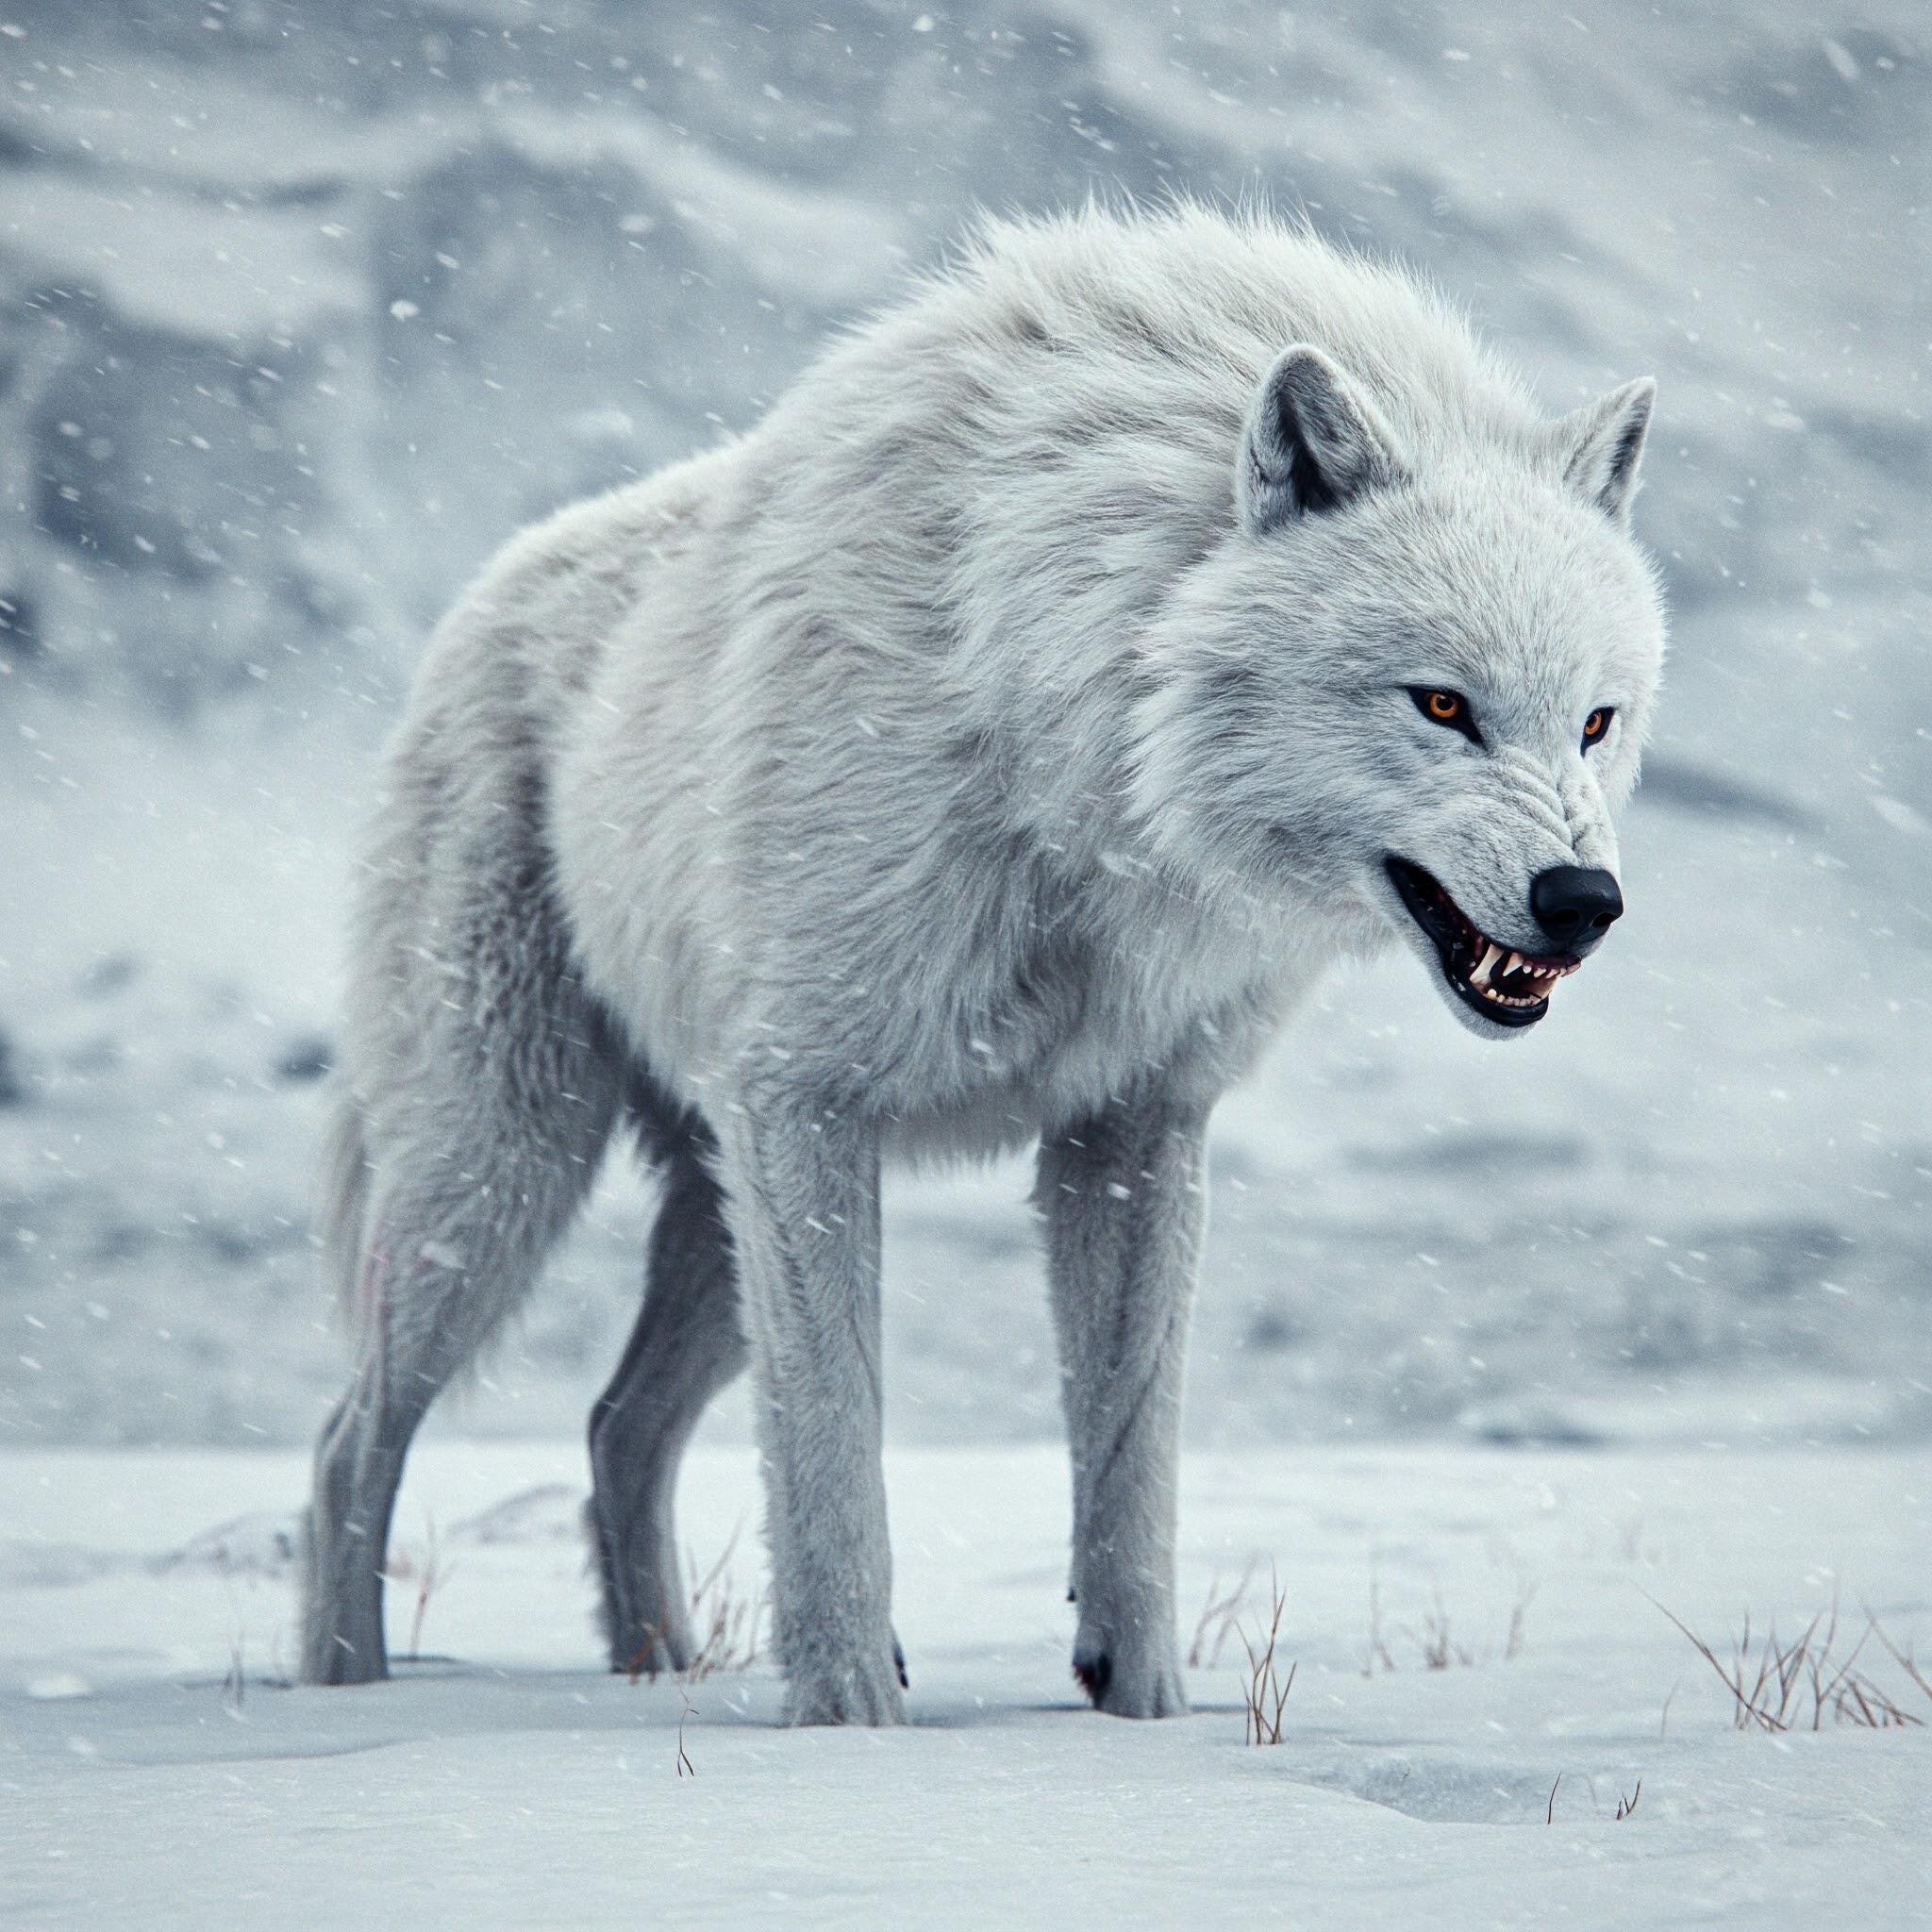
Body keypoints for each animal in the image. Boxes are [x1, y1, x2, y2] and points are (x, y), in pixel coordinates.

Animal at [300, 204, 1664, 1725]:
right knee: (352, 1435)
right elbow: (834, 1462)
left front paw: (1145, 1714)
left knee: (613, 1424)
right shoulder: (809, 1107)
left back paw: (658, 1672)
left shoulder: (1132, 1128)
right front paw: (852, 1720)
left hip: (707, 1207)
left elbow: (1130, 1461)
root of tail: (481, 593)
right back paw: (348, 1696)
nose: (1584, 901)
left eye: (1594, 721)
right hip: (506, 1167)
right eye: (1440, 704)